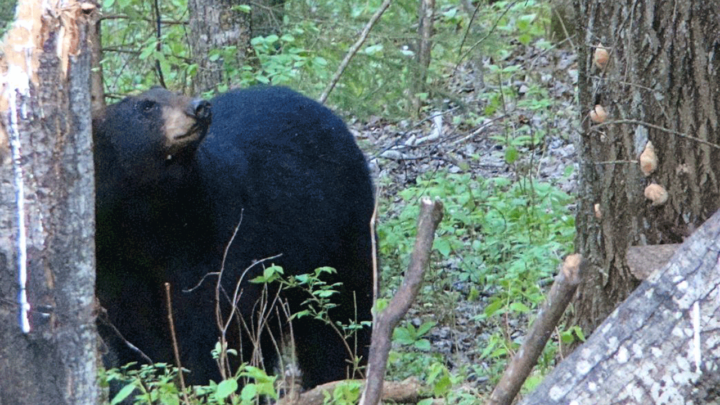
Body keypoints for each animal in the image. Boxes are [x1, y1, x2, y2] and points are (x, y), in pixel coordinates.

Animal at [93, 86, 376, 390]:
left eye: (169, 92)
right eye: (147, 106)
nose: (200, 107)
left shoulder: (216, 239)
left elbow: (215, 327)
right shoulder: (114, 264)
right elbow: (133, 336)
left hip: (341, 236)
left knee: (341, 316)